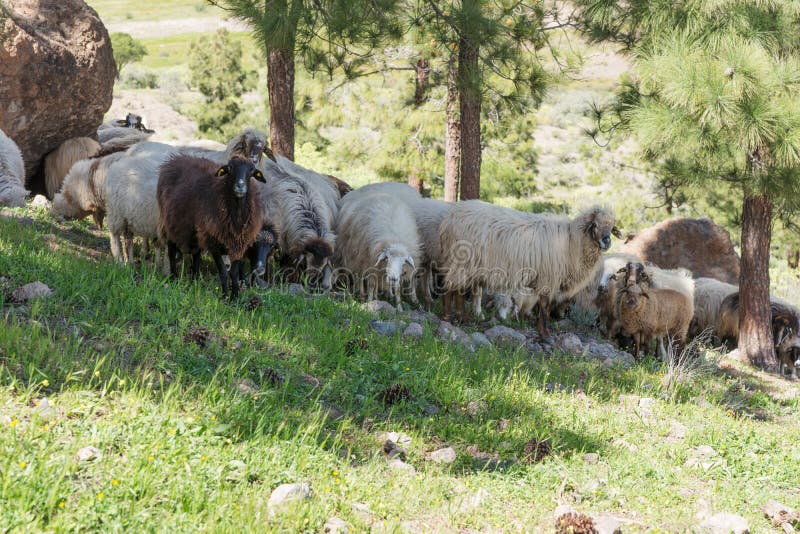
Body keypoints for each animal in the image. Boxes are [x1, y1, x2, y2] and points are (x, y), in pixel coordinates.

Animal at [157, 155, 266, 299]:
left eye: (252, 170)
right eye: (230, 168)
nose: (240, 186)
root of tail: (175, 159)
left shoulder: (238, 245)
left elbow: (234, 274)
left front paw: (235, 297)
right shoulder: (213, 242)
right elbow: (224, 273)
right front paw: (225, 297)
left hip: (197, 232)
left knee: (196, 255)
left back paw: (195, 281)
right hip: (170, 224)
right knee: (171, 253)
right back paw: (173, 279)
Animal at [438, 202, 618, 336]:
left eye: (612, 228)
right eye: (595, 225)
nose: (607, 241)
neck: (570, 241)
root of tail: (450, 219)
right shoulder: (548, 277)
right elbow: (544, 306)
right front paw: (544, 333)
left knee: (457, 291)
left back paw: (463, 318)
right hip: (463, 262)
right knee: (450, 289)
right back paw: (448, 318)